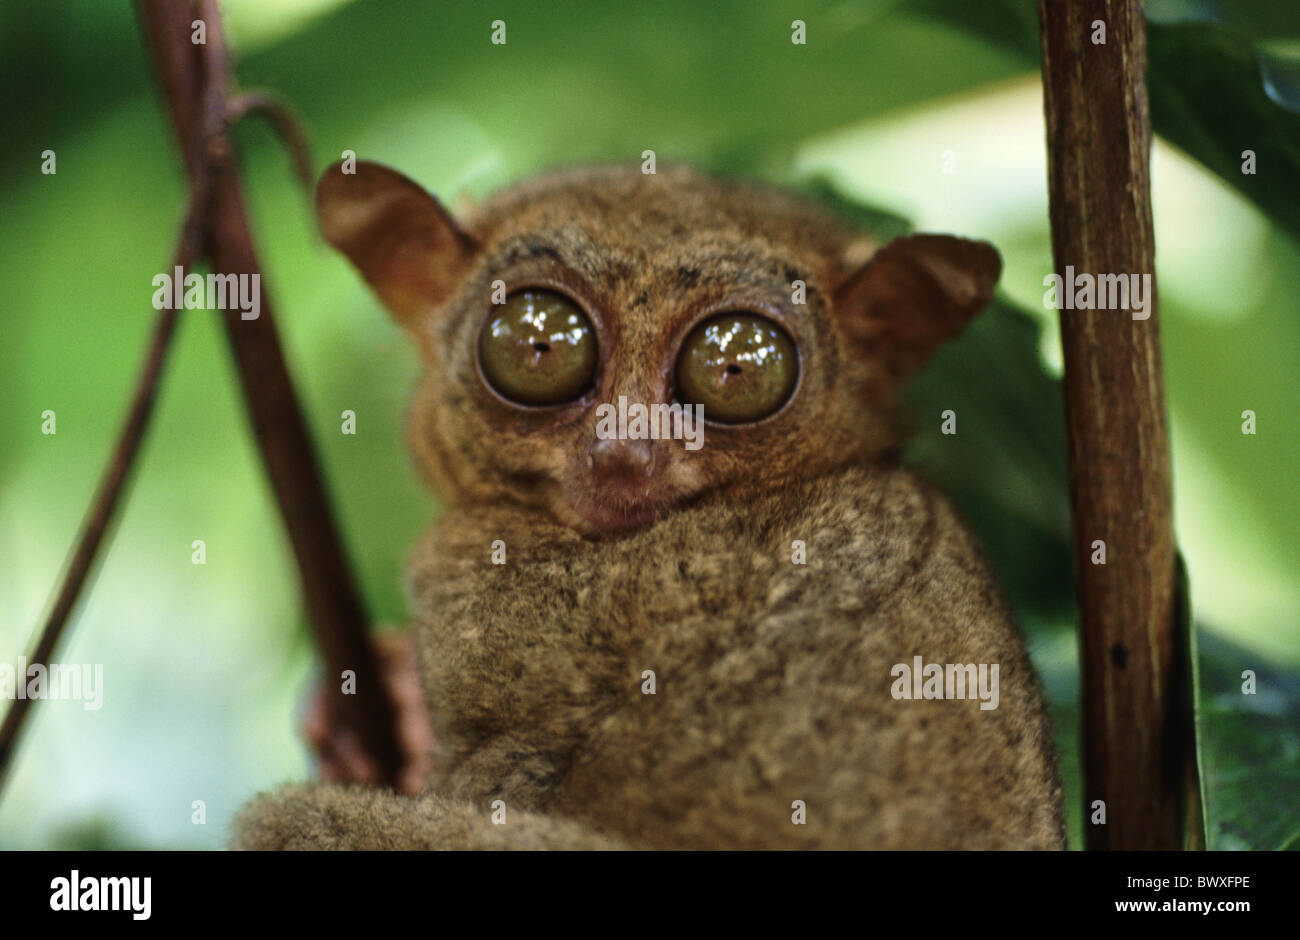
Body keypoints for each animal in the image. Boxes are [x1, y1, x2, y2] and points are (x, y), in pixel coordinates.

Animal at [232, 161, 1065, 849]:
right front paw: (362, 712)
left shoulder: (493, 609)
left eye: (736, 368)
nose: (622, 452)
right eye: (537, 346)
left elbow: (488, 774)